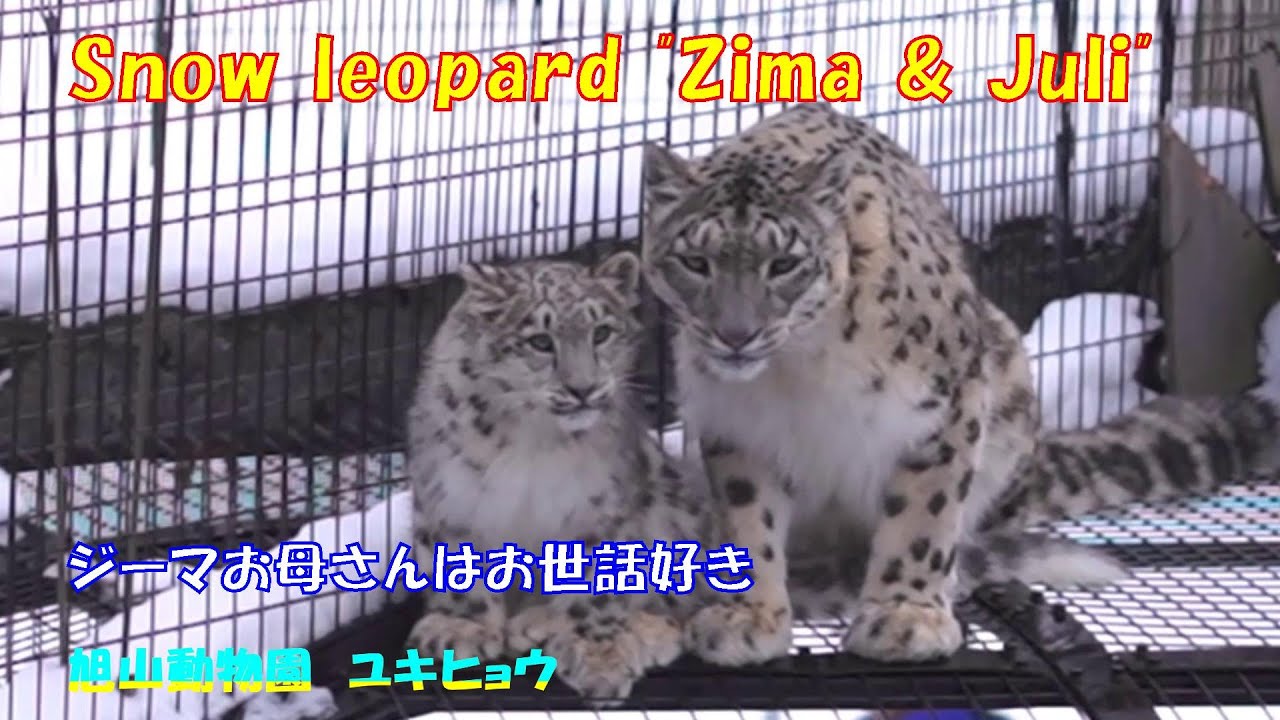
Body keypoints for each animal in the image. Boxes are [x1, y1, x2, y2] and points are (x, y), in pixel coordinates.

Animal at [638, 102, 1280, 666]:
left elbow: (924, 512)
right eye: (695, 262)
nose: (735, 334)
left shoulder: (945, 406)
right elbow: (748, 522)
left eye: (784, 264)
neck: (795, 374)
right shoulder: (736, 424)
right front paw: (747, 617)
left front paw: (905, 617)